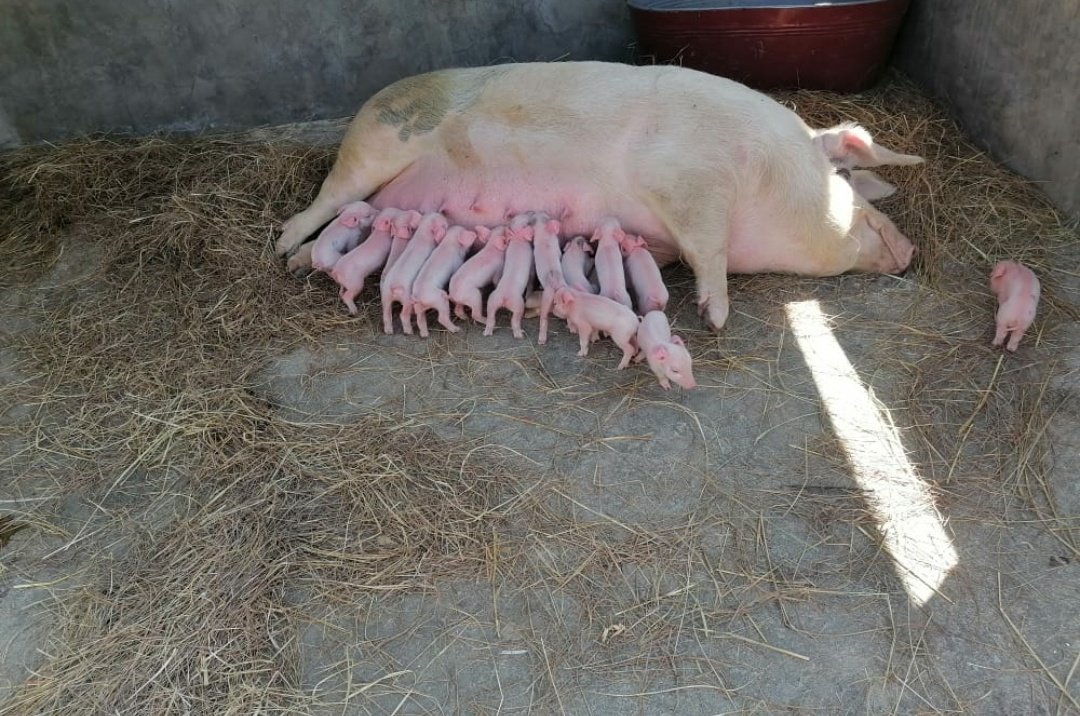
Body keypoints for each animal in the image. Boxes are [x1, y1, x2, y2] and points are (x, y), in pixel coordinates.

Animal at [530, 213, 566, 344]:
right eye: (547, 215)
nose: (534, 212)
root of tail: (556, 283)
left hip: (547, 295)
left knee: (544, 316)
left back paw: (541, 341)